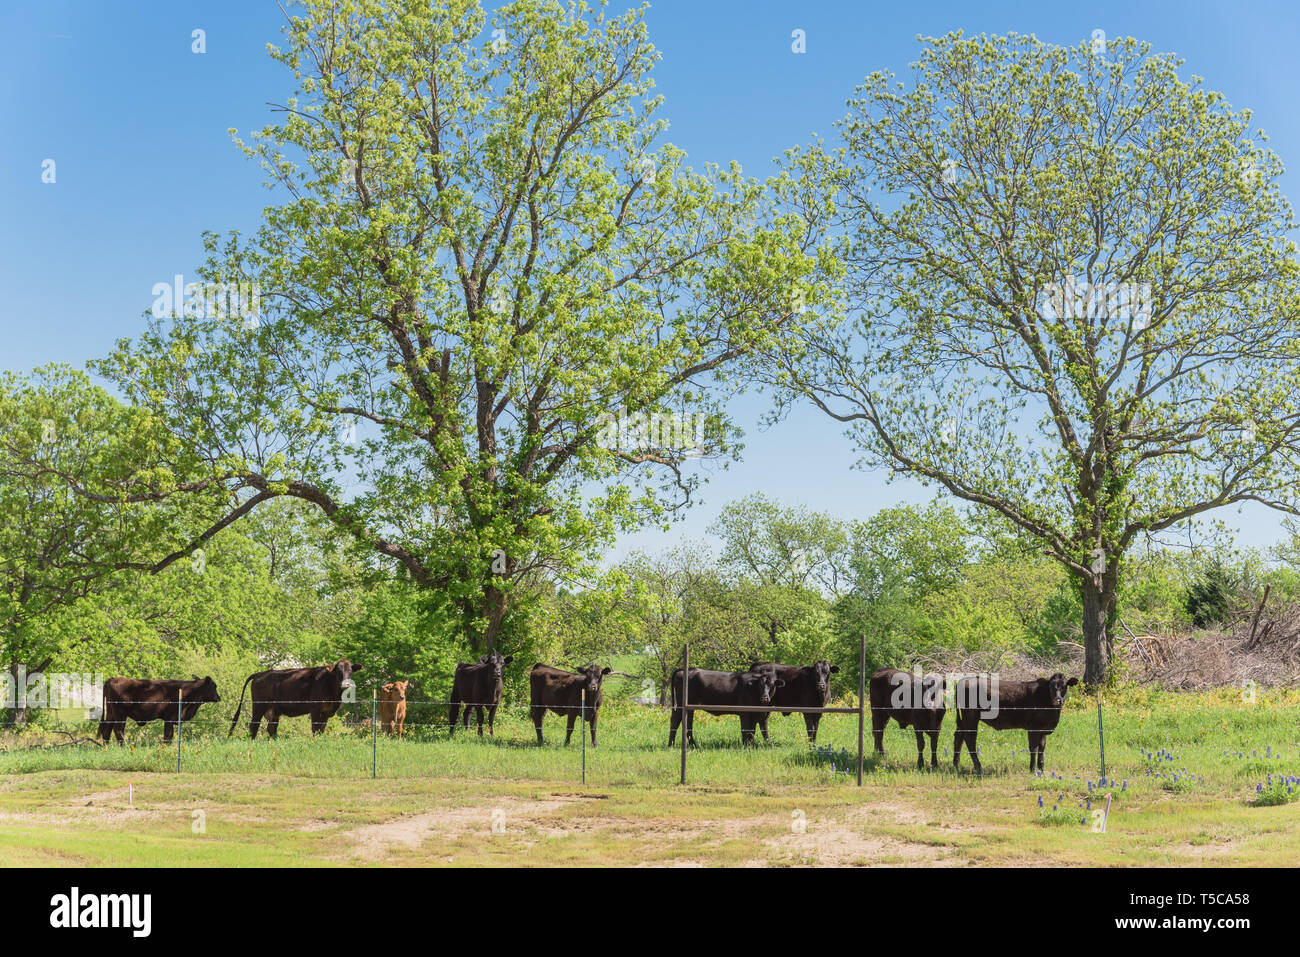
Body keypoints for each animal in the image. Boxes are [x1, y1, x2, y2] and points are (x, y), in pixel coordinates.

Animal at [227, 660, 361, 739]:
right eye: (338, 671)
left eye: (350, 670)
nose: (345, 684)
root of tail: (261, 673)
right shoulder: (315, 709)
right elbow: (315, 728)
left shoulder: (327, 712)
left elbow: (321, 729)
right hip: (259, 706)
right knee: (254, 726)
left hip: (274, 711)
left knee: (271, 729)